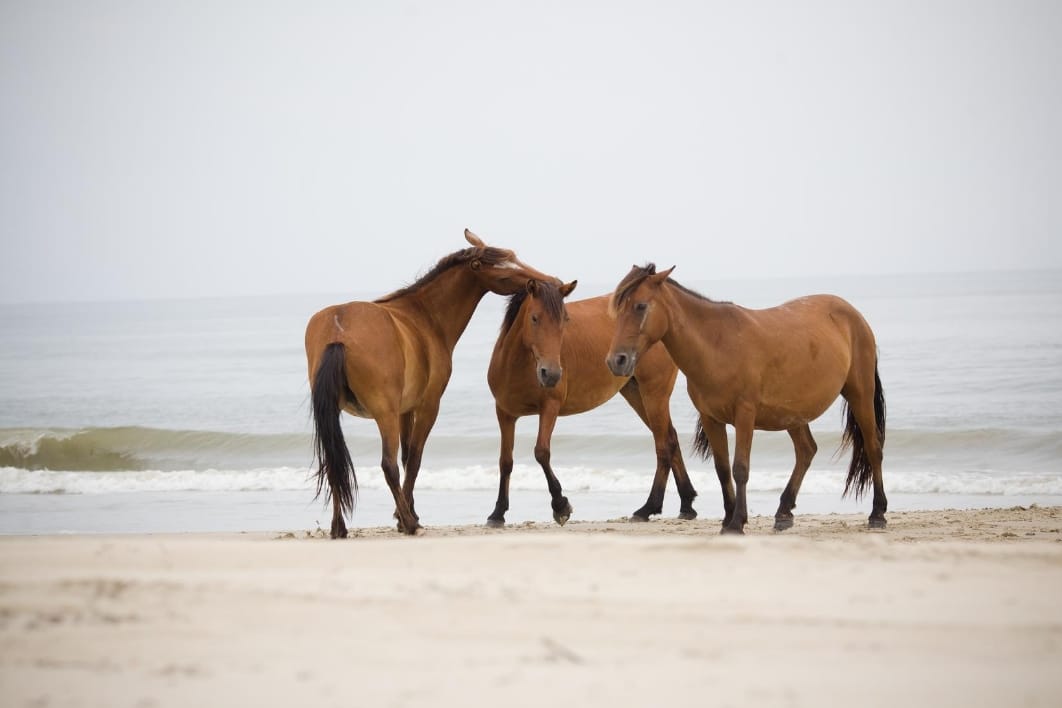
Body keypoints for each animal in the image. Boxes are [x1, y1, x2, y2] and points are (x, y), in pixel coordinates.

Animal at [305, 229, 560, 538]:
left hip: (337, 413)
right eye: (503, 269)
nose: (549, 281)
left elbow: (406, 458)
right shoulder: (428, 406)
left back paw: (339, 527)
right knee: (387, 465)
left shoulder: (405, 410)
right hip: (384, 414)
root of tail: (338, 329)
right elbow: (413, 459)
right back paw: (408, 524)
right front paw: (405, 517)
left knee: (333, 463)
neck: (423, 316)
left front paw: (408, 510)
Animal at [486, 278, 699, 527]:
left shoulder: (550, 407)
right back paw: (686, 504)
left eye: (565, 321)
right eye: (534, 318)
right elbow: (505, 461)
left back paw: (647, 508)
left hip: (654, 393)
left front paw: (561, 506)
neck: (518, 365)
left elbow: (541, 452)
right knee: (671, 438)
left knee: (663, 444)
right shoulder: (504, 413)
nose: (551, 374)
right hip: (635, 393)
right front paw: (497, 512)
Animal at [605, 264, 886, 534]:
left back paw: (877, 513)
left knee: (873, 448)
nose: (616, 360)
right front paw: (728, 517)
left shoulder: (745, 415)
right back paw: (783, 513)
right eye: (617, 310)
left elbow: (740, 468)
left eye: (640, 306)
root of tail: (852, 314)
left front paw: (737, 522)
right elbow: (722, 469)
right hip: (792, 414)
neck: (717, 345)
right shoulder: (711, 419)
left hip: (860, 395)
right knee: (806, 451)